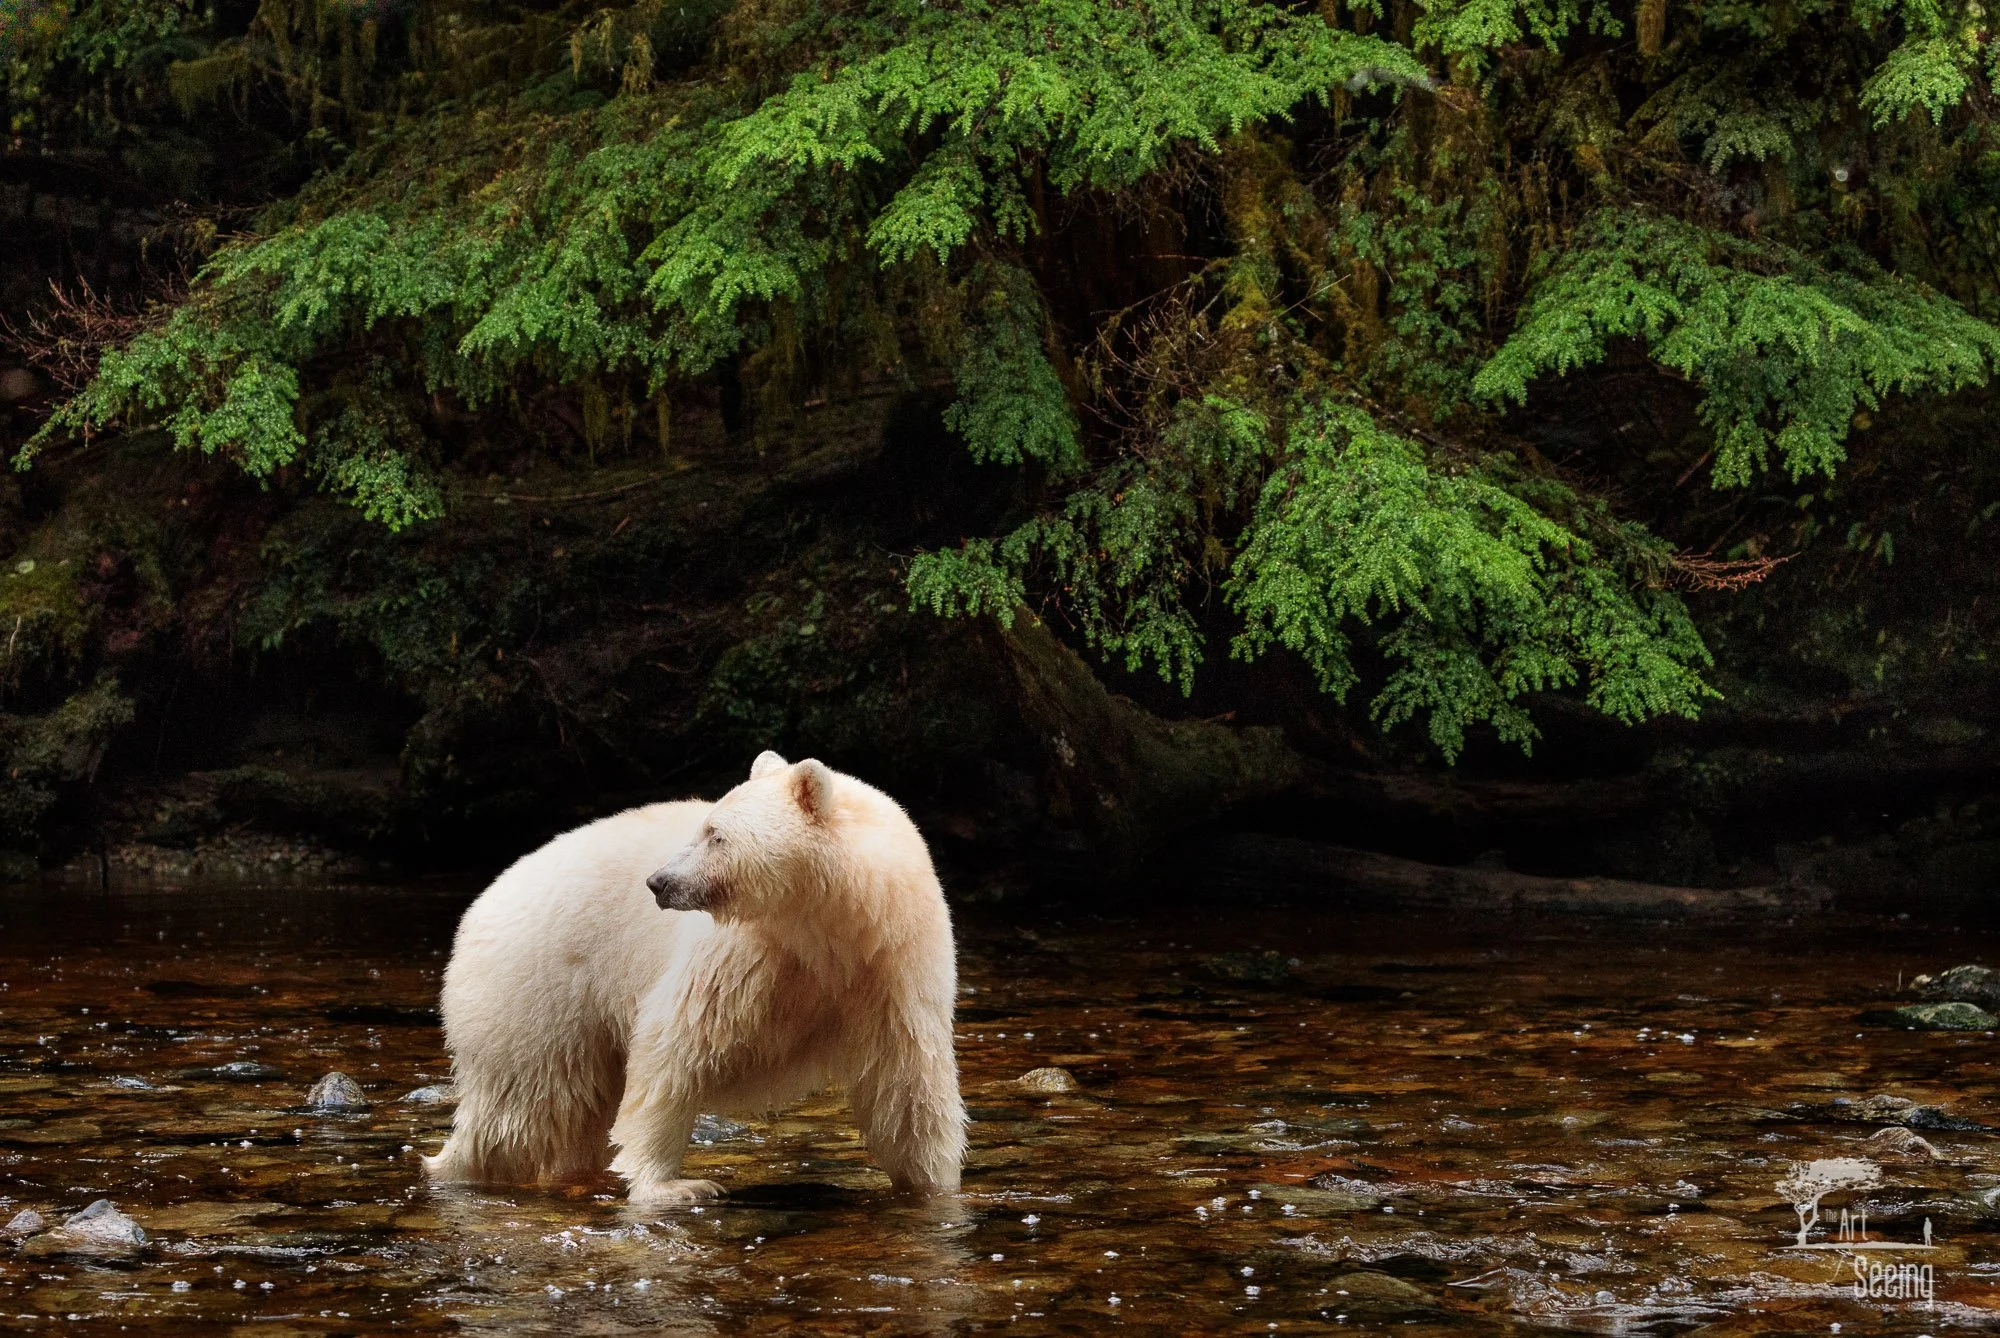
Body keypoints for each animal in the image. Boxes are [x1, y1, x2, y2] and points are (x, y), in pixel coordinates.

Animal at [422, 751, 964, 1204]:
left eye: (716, 834)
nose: (658, 881)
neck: (827, 926)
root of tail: (482, 902)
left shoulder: (892, 967)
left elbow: (908, 1085)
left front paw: (934, 1187)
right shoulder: (745, 955)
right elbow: (677, 1046)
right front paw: (670, 1186)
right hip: (540, 985)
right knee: (519, 1110)